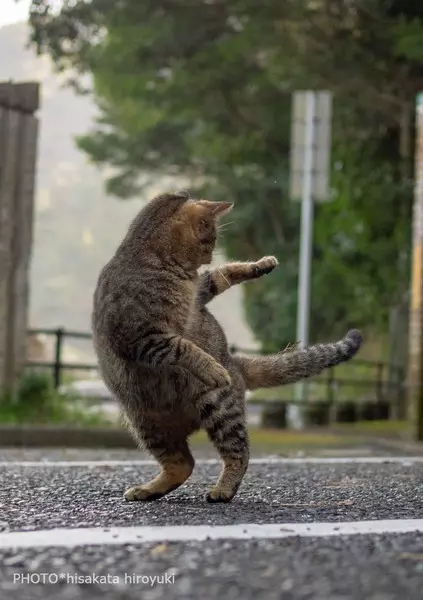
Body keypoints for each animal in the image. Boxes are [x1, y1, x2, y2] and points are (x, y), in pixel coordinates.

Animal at [93, 191, 364, 502]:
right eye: (209, 240)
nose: (209, 256)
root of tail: (236, 364)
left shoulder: (197, 297)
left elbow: (220, 274)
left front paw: (261, 264)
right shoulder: (140, 334)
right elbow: (183, 347)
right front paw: (212, 368)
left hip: (215, 409)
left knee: (232, 454)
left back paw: (219, 488)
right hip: (149, 425)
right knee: (188, 463)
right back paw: (155, 489)